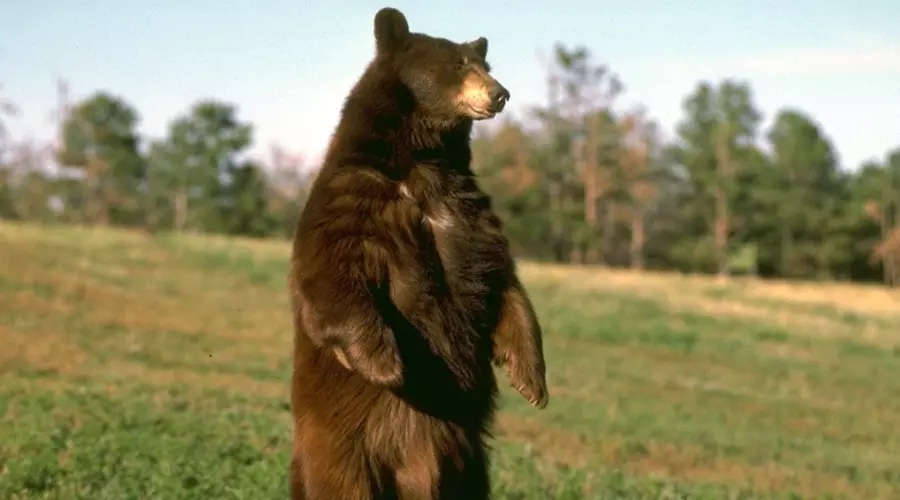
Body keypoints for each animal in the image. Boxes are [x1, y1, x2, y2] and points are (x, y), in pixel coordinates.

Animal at [288, 7, 548, 500]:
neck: (424, 160)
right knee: (341, 484)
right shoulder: (355, 198)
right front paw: (386, 364)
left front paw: (531, 380)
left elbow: (502, 280)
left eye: (486, 63)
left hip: (467, 458)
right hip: (344, 447)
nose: (500, 94)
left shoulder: (468, 212)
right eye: (458, 64)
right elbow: (333, 273)